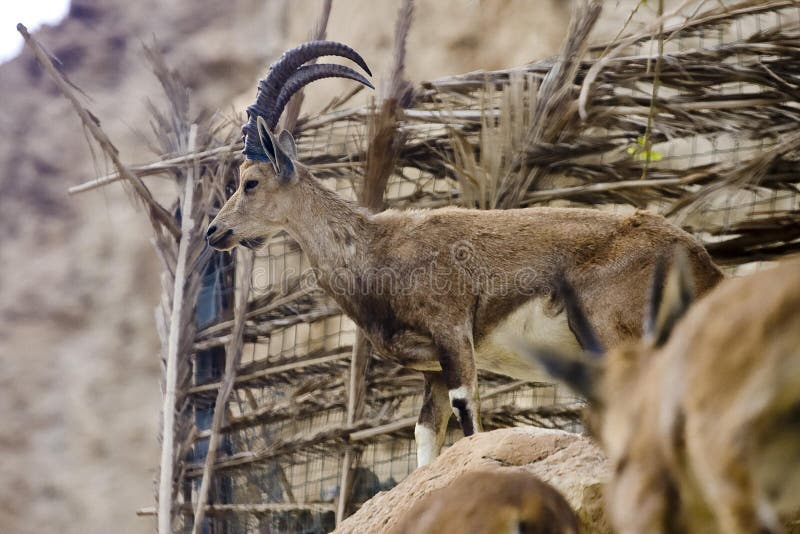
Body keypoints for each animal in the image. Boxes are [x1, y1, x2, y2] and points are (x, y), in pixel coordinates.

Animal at [206, 41, 724, 467]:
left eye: (250, 182)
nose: (215, 232)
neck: (376, 251)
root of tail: (701, 262)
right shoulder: (432, 366)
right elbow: (426, 433)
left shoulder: (453, 331)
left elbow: (468, 414)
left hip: (608, 326)